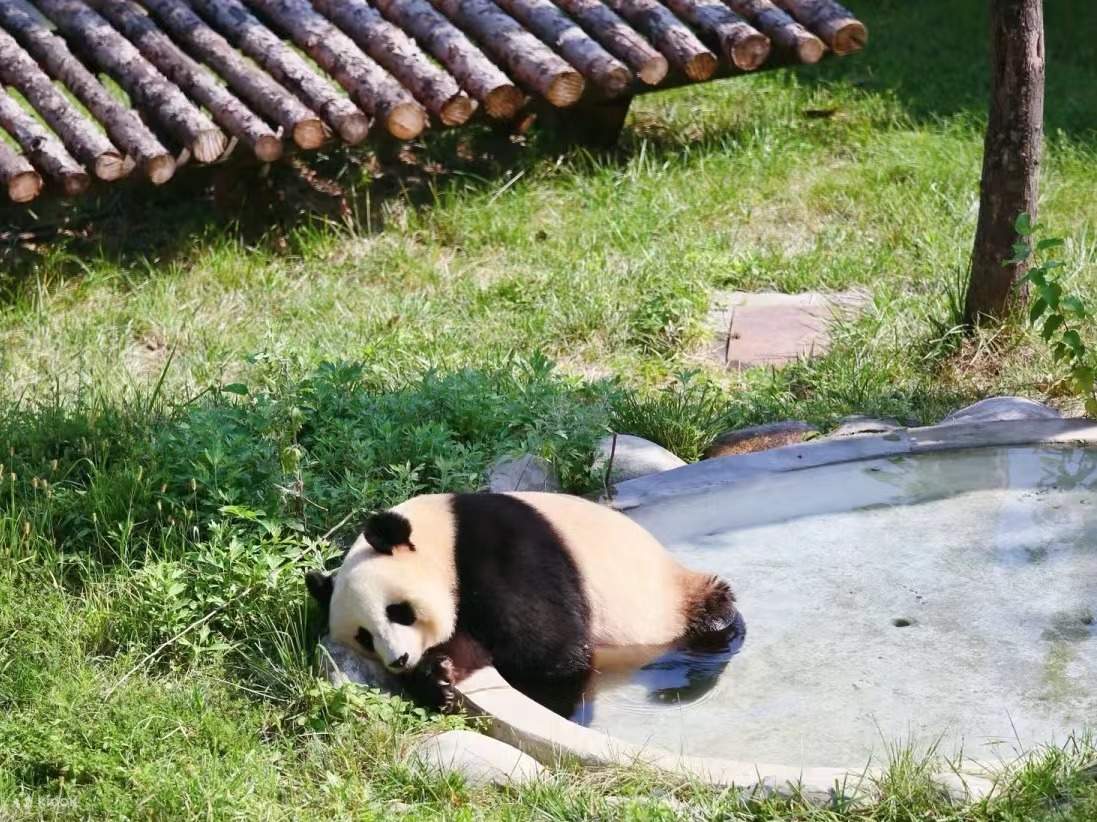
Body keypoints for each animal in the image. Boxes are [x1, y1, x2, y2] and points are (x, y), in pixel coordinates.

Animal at [306, 491, 740, 716]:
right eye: (364, 637)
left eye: (398, 611)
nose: (399, 660)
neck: (442, 537)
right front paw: (438, 680)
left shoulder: (507, 551)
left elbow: (548, 648)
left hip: (669, 604)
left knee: (715, 624)